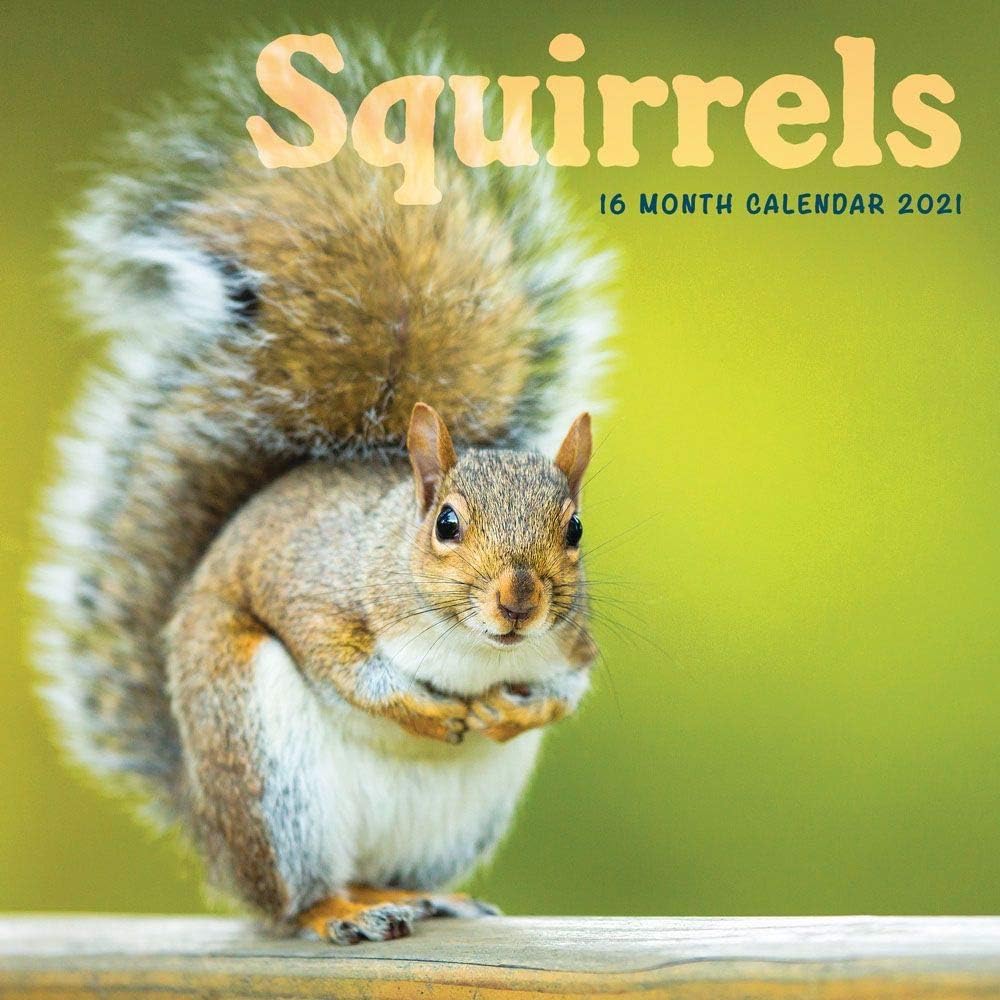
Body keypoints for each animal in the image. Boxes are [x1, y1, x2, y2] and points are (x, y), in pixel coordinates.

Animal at [32, 31, 612, 944]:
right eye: (447, 524)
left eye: (576, 530)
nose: (519, 603)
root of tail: (208, 828)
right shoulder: (313, 585)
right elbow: (342, 663)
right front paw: (426, 711)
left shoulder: (572, 642)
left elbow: (567, 687)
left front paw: (513, 710)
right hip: (268, 773)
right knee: (294, 897)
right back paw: (338, 911)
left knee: (389, 874)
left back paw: (420, 897)